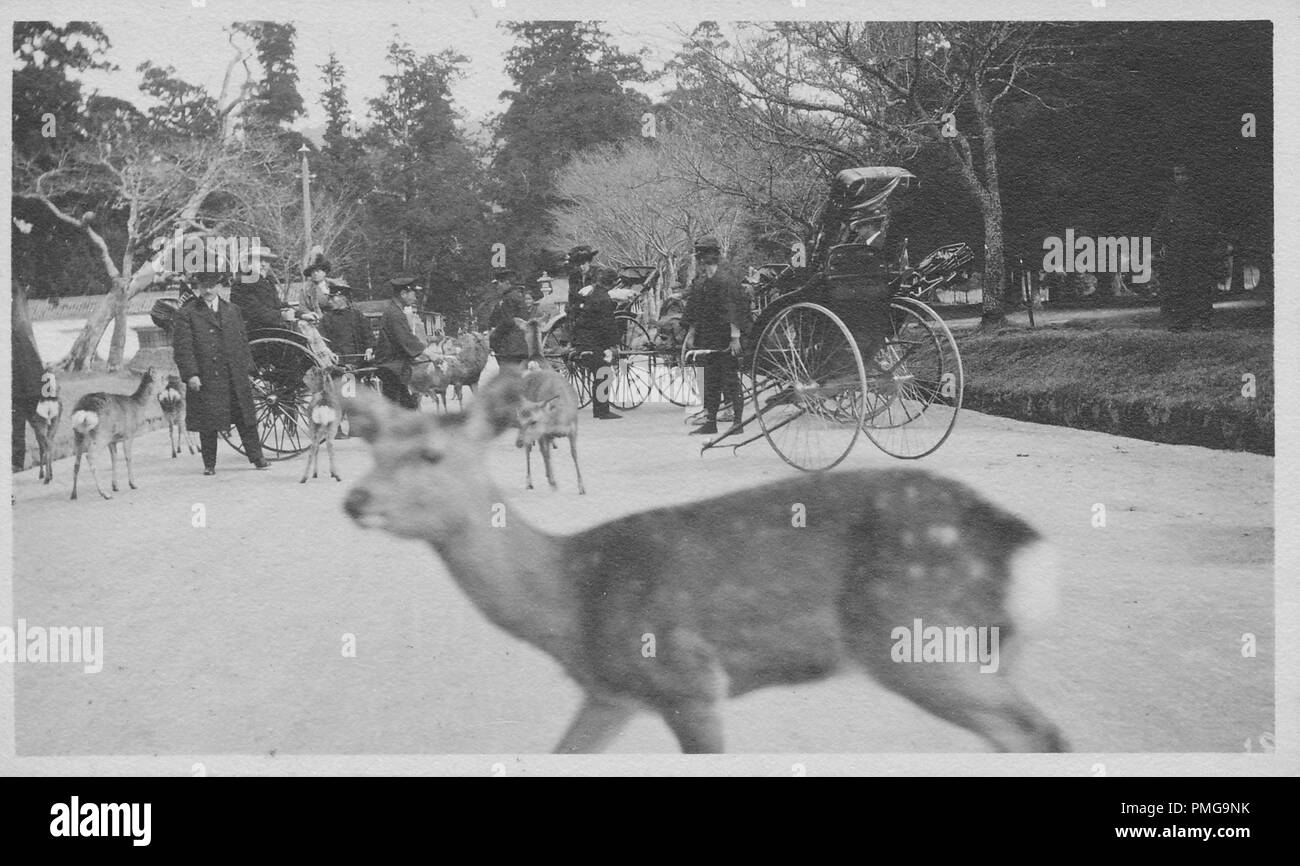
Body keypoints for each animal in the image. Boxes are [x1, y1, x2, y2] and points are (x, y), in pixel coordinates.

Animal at [71, 366, 159, 499]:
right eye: (164, 376)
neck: (138, 406)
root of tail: (84, 411)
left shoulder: (113, 440)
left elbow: (114, 459)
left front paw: (115, 486)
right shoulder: (128, 434)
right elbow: (128, 457)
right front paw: (133, 484)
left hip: (78, 435)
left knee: (76, 463)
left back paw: (73, 494)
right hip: (101, 434)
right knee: (90, 456)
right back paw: (104, 494)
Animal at [343, 374, 1066, 754]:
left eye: (431, 455)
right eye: (372, 448)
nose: (354, 499)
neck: (574, 598)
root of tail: (1019, 542)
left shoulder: (688, 678)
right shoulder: (611, 693)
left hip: (916, 633)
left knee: (1040, 734)